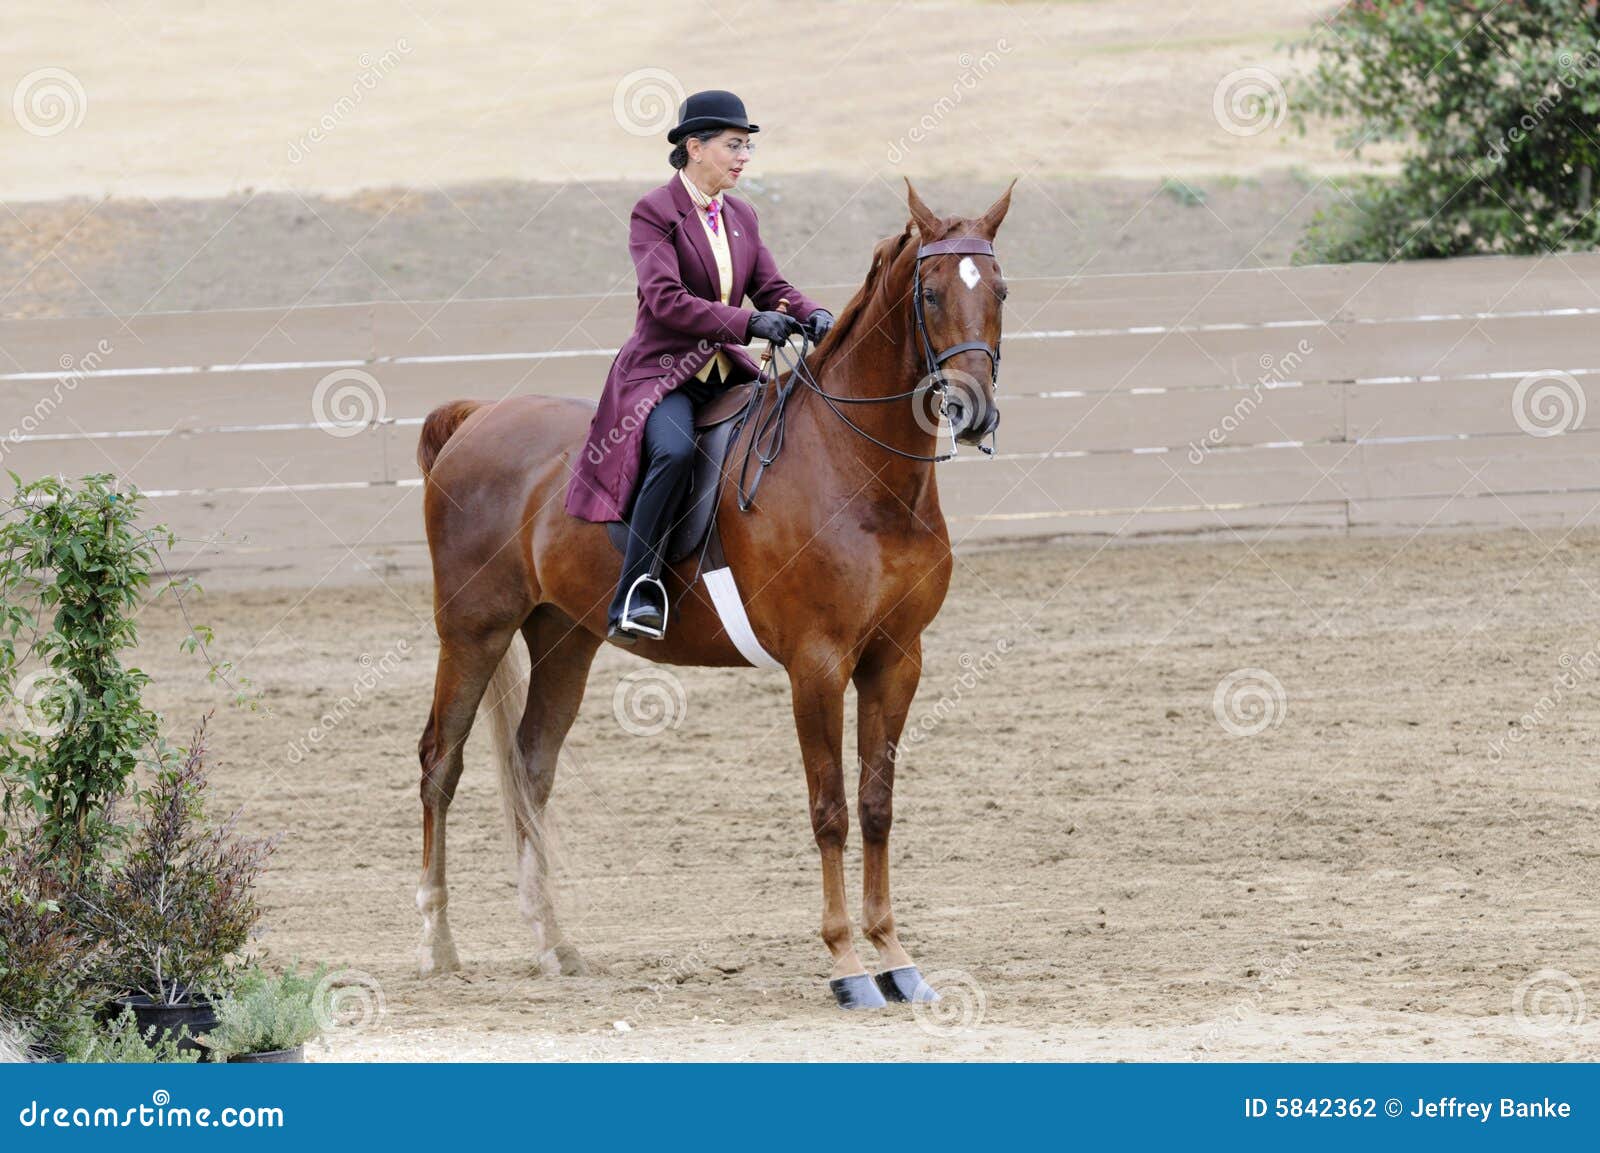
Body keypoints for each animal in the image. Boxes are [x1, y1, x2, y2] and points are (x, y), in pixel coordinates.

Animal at [413, 177, 1013, 1008]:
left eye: (1000, 290)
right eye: (928, 293)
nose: (972, 408)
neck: (857, 469)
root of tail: (477, 418)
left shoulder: (897, 659)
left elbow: (876, 805)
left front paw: (896, 957)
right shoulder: (817, 665)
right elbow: (829, 809)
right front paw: (846, 964)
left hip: (563, 634)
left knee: (531, 767)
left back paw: (555, 944)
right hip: (473, 629)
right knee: (441, 762)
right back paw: (438, 943)